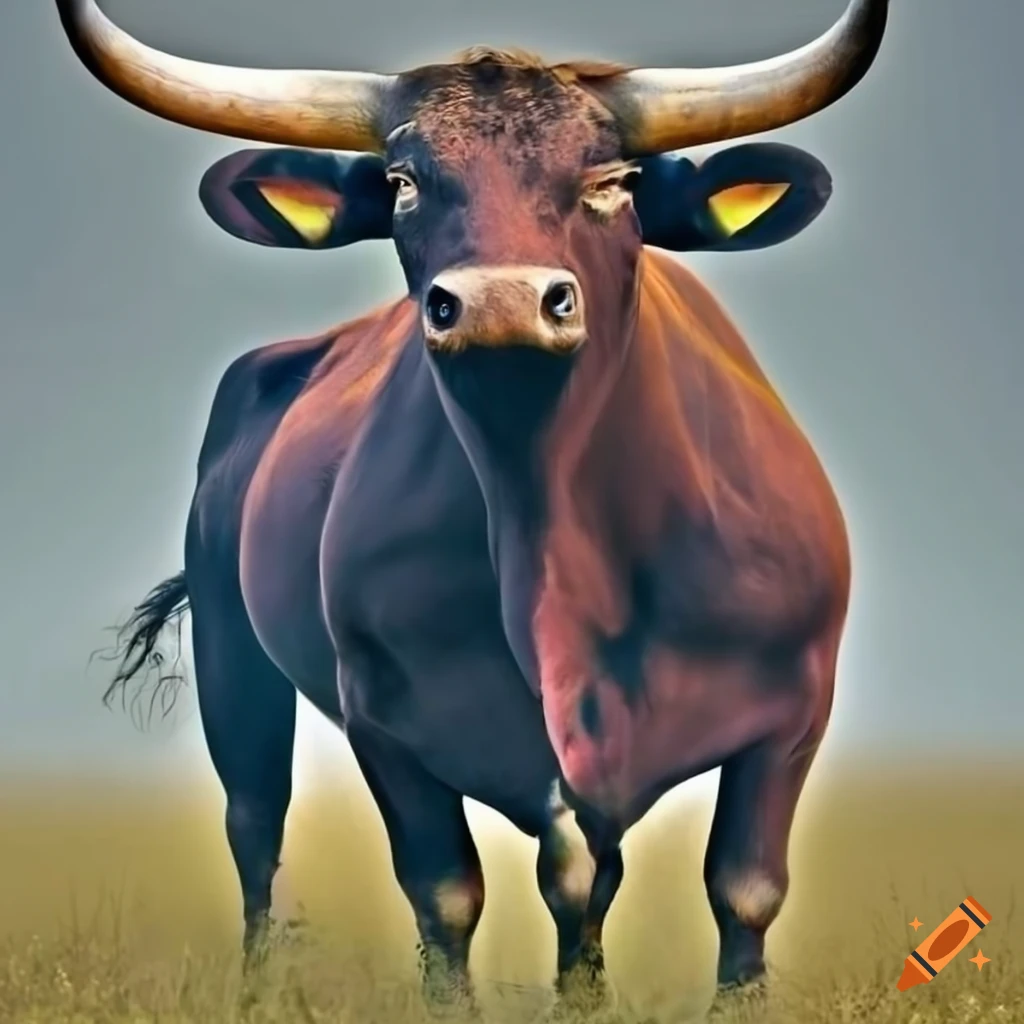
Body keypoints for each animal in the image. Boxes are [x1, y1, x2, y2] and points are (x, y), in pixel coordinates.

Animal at [56, 0, 888, 1016]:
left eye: (611, 183)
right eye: (406, 182)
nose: (501, 304)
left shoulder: (795, 708)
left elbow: (738, 888)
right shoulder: (385, 721)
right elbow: (447, 895)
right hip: (232, 652)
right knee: (254, 825)